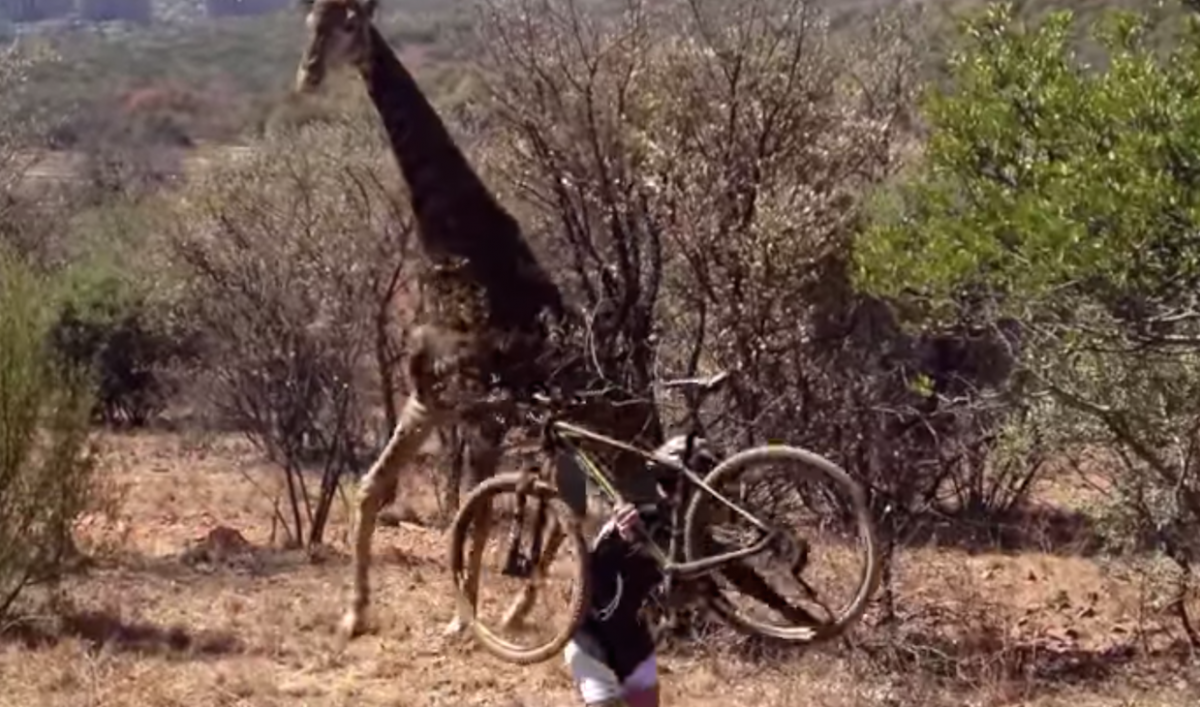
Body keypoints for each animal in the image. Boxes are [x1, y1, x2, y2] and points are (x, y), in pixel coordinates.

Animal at [294, 0, 661, 641]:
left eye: (351, 22)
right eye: (311, 17)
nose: (309, 73)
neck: (452, 243)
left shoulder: (481, 410)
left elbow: (478, 511)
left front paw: (460, 620)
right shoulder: (429, 401)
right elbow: (371, 489)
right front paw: (355, 611)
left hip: (594, 438)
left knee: (593, 508)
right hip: (560, 436)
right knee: (577, 507)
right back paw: (520, 610)